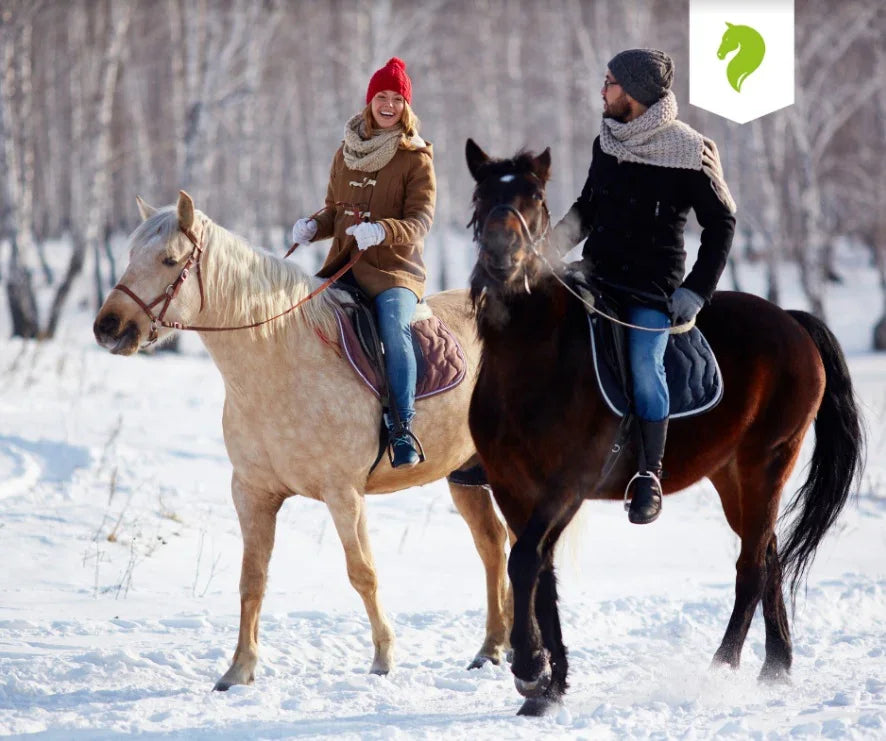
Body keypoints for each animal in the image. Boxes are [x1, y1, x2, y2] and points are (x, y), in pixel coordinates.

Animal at [93, 190, 512, 690]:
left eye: (169, 260)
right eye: (130, 255)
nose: (108, 328)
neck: (281, 360)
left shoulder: (344, 494)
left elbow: (362, 573)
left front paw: (383, 659)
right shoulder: (252, 493)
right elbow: (252, 579)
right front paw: (239, 669)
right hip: (465, 476)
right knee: (493, 546)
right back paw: (492, 649)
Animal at [463, 139, 864, 716]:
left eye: (534, 196)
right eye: (481, 195)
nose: (501, 258)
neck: (533, 358)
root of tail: (793, 320)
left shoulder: (567, 485)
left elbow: (524, 562)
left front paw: (530, 670)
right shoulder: (512, 487)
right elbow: (540, 572)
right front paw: (548, 687)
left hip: (767, 462)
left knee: (752, 567)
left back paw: (722, 668)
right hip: (731, 476)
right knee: (767, 555)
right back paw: (776, 668)